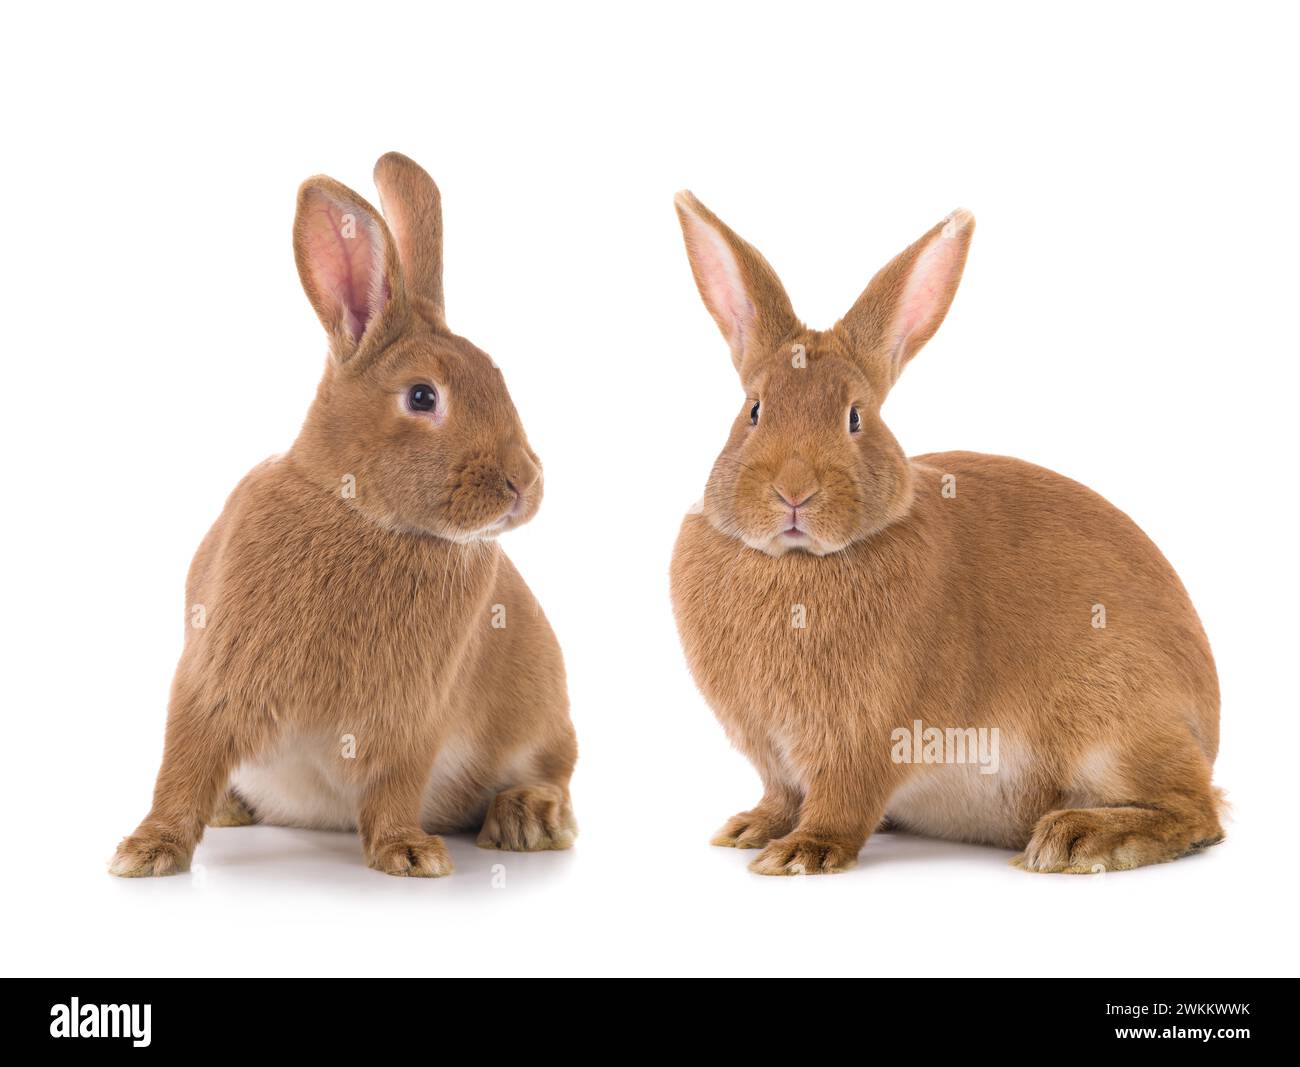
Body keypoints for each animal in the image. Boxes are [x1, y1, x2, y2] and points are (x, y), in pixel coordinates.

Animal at [110, 153, 577, 878]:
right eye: (422, 396)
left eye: (498, 377)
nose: (523, 483)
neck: (361, 514)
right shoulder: (211, 680)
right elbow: (182, 768)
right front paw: (146, 851)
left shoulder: (413, 717)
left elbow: (395, 785)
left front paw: (408, 854)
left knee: (556, 773)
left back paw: (528, 817)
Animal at [669, 192, 1223, 875]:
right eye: (752, 411)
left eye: (855, 417)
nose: (793, 492)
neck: (798, 562)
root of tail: (1208, 728)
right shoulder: (775, 754)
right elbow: (781, 794)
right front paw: (751, 829)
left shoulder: (867, 738)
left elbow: (841, 802)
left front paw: (802, 853)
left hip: (1114, 723)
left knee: (1196, 813)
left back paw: (1078, 839)